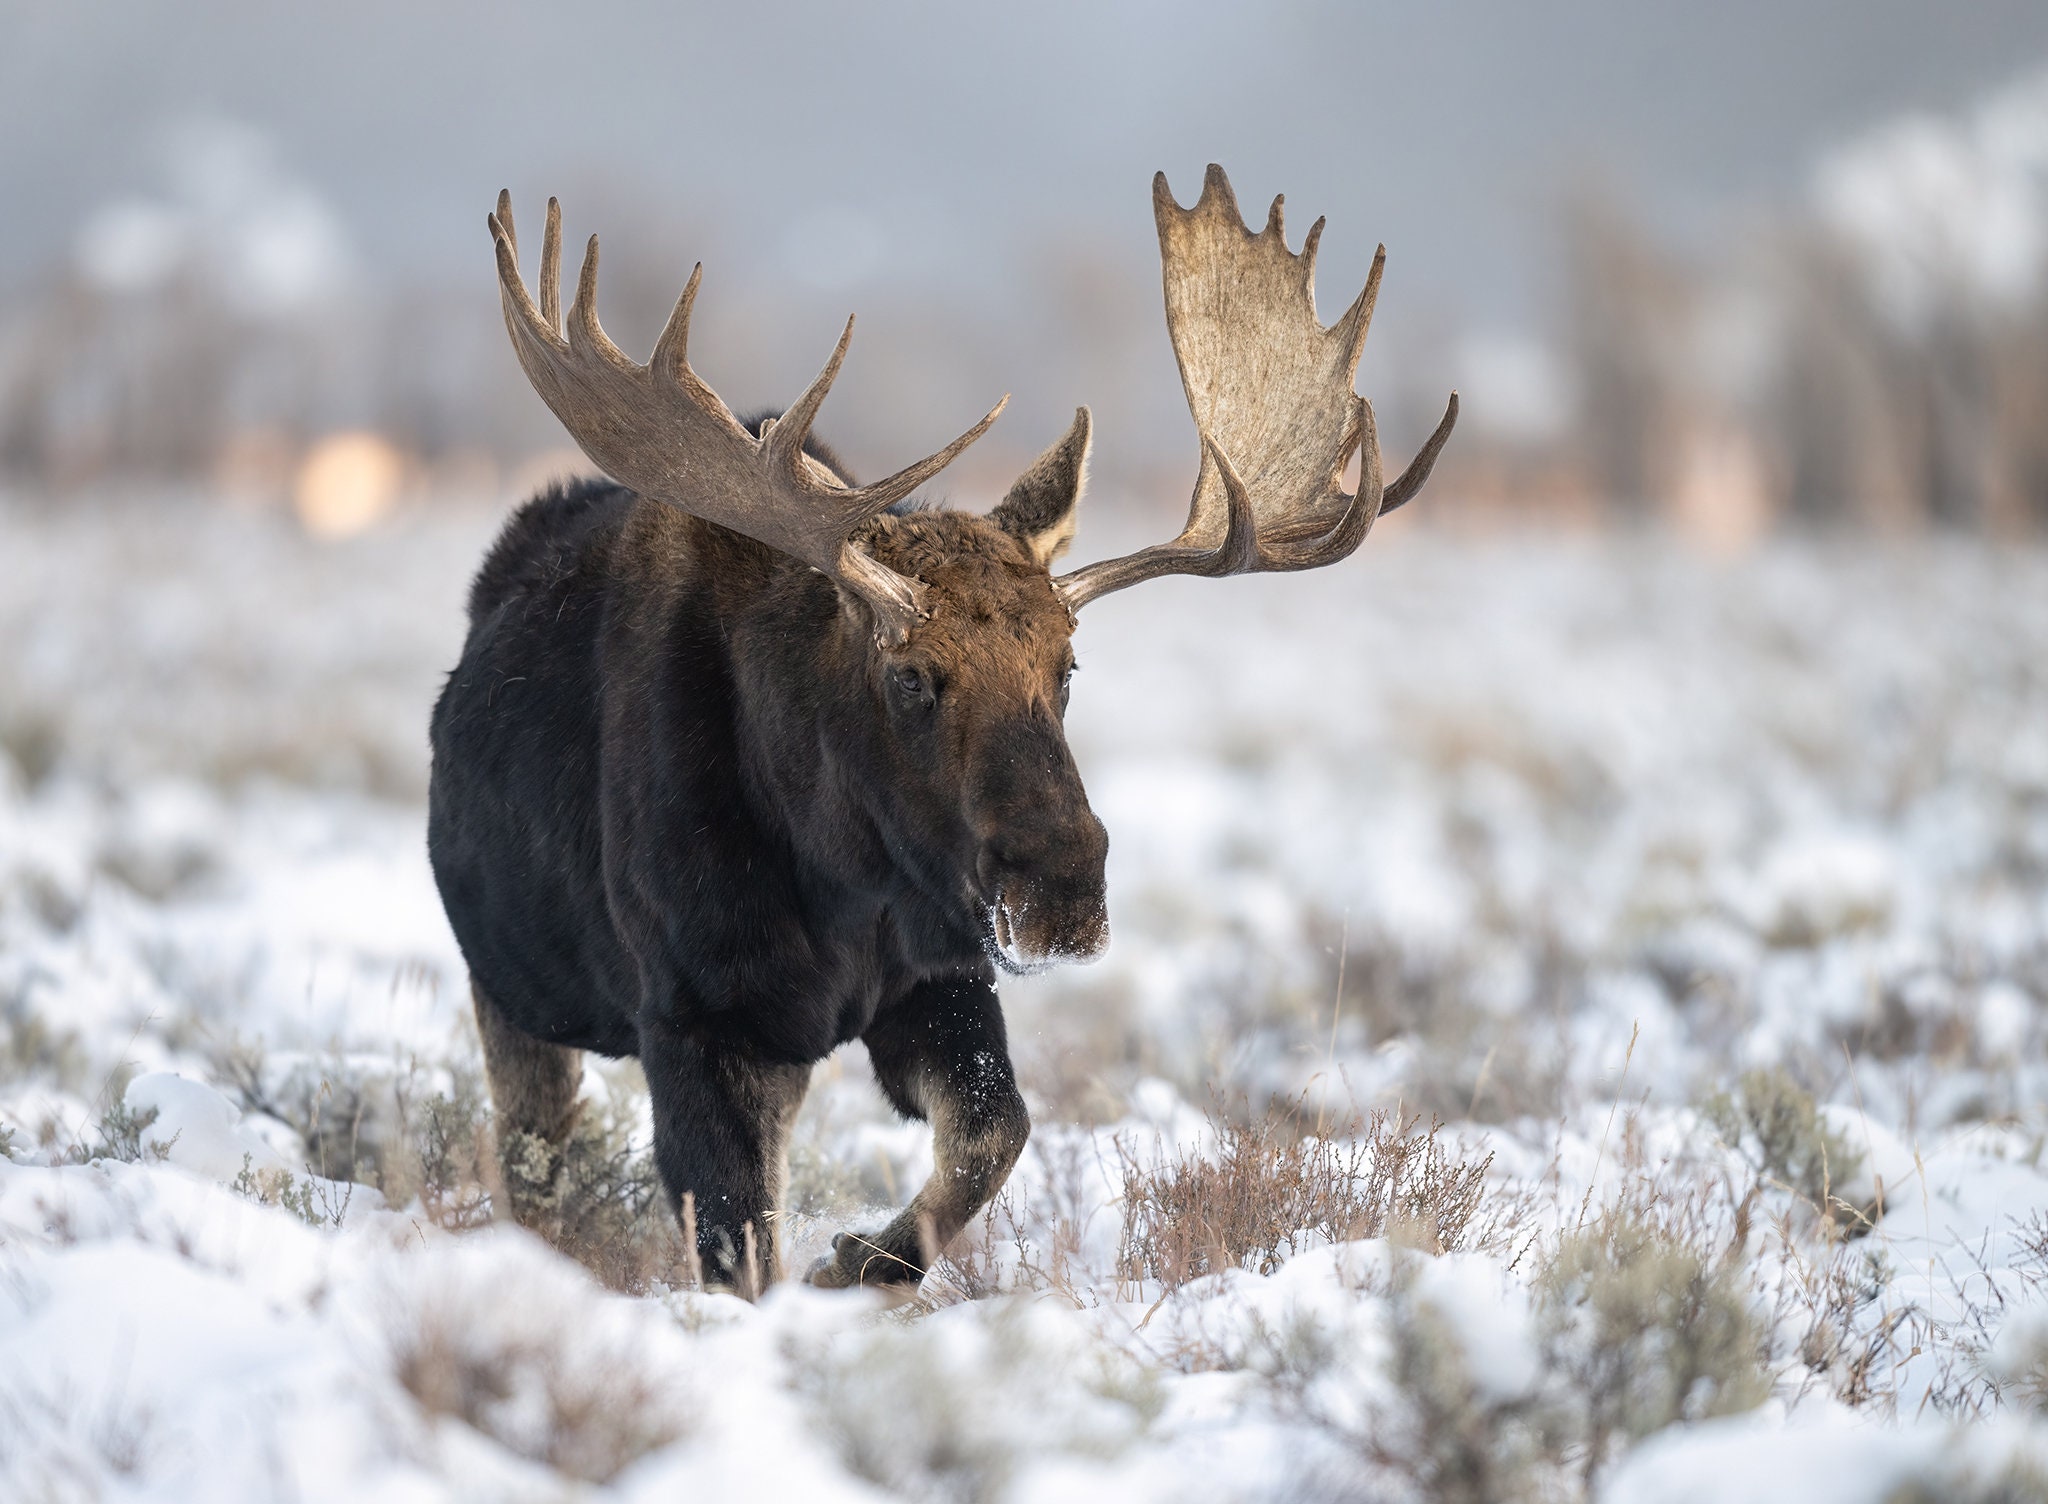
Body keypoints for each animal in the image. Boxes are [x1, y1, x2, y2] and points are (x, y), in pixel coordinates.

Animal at [427, 164, 1456, 1294]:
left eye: (1067, 664)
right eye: (911, 676)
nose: (1064, 884)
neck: (833, 879)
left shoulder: (939, 973)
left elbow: (991, 1134)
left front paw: (858, 1258)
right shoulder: (693, 1012)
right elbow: (736, 1247)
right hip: (513, 989)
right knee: (532, 1161)